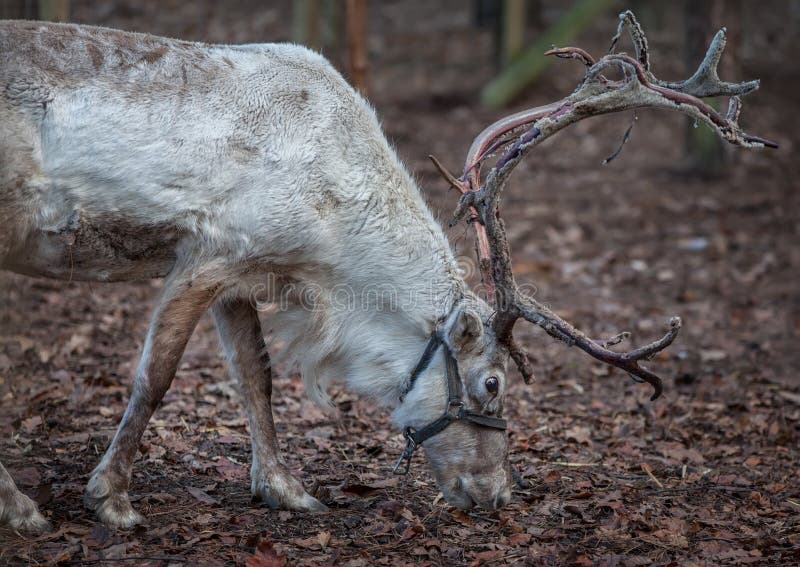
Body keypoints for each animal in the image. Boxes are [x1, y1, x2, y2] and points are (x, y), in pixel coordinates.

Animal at [0, 11, 775, 532]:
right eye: (492, 382)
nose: (498, 494)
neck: (331, 257)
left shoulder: (239, 270)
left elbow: (256, 376)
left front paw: (285, 488)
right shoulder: (207, 254)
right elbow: (155, 377)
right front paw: (112, 499)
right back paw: (23, 509)